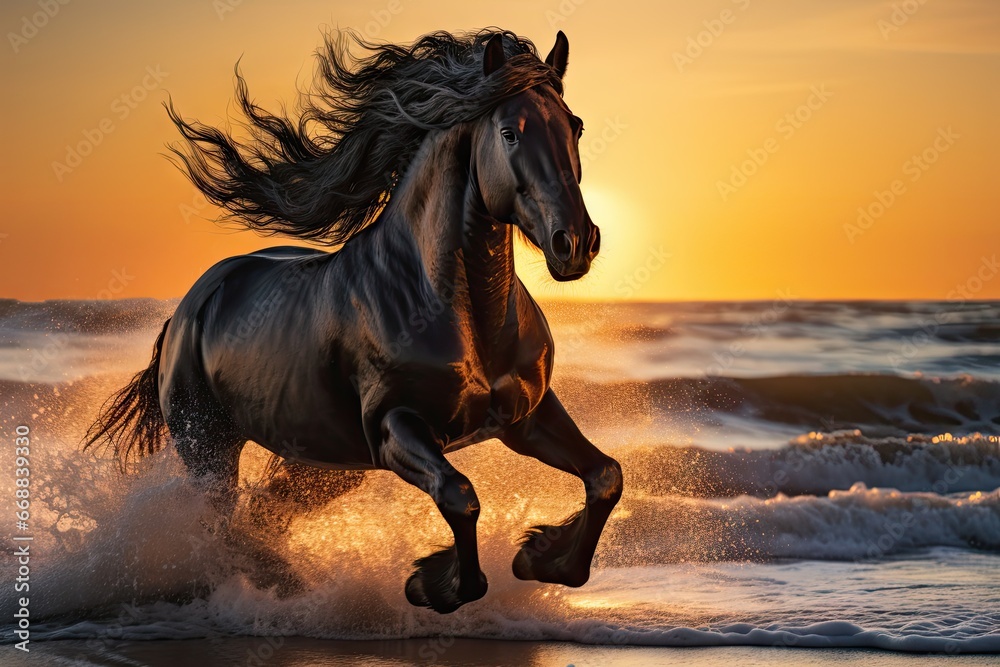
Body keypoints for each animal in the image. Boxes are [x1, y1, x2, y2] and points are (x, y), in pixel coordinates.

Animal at [86, 28, 623, 614]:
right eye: (509, 132)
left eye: (574, 126)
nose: (575, 243)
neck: (455, 309)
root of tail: (189, 309)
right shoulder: (395, 428)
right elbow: (460, 496)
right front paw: (430, 584)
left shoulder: (526, 416)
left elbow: (605, 476)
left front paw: (540, 558)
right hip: (208, 450)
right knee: (220, 528)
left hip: (321, 463)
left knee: (261, 514)